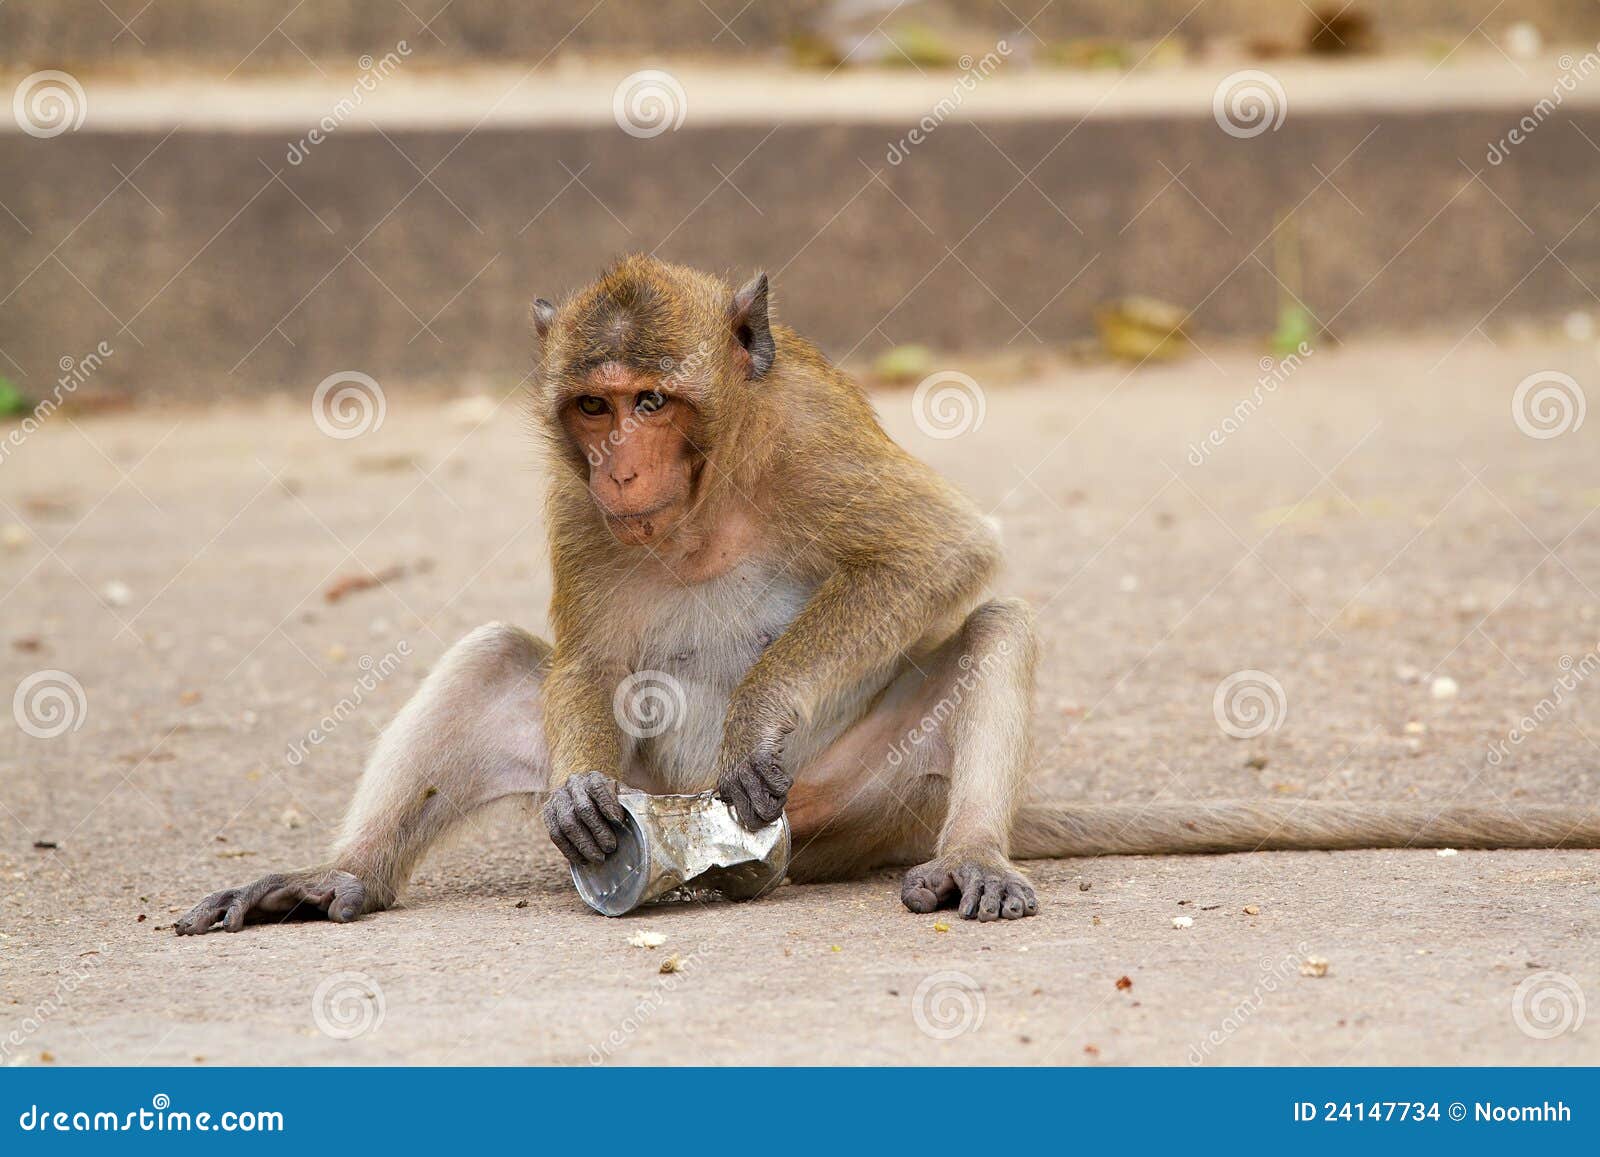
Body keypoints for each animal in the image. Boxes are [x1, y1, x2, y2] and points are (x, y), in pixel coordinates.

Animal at [176, 255, 1600, 935]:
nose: (621, 463)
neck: (708, 494)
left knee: (991, 631)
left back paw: (970, 850)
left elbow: (944, 558)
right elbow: (580, 653)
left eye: (654, 400)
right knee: (489, 656)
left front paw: (760, 712)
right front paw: (584, 802)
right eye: (590, 406)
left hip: (847, 804)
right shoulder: (575, 508)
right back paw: (338, 879)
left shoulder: (814, 439)